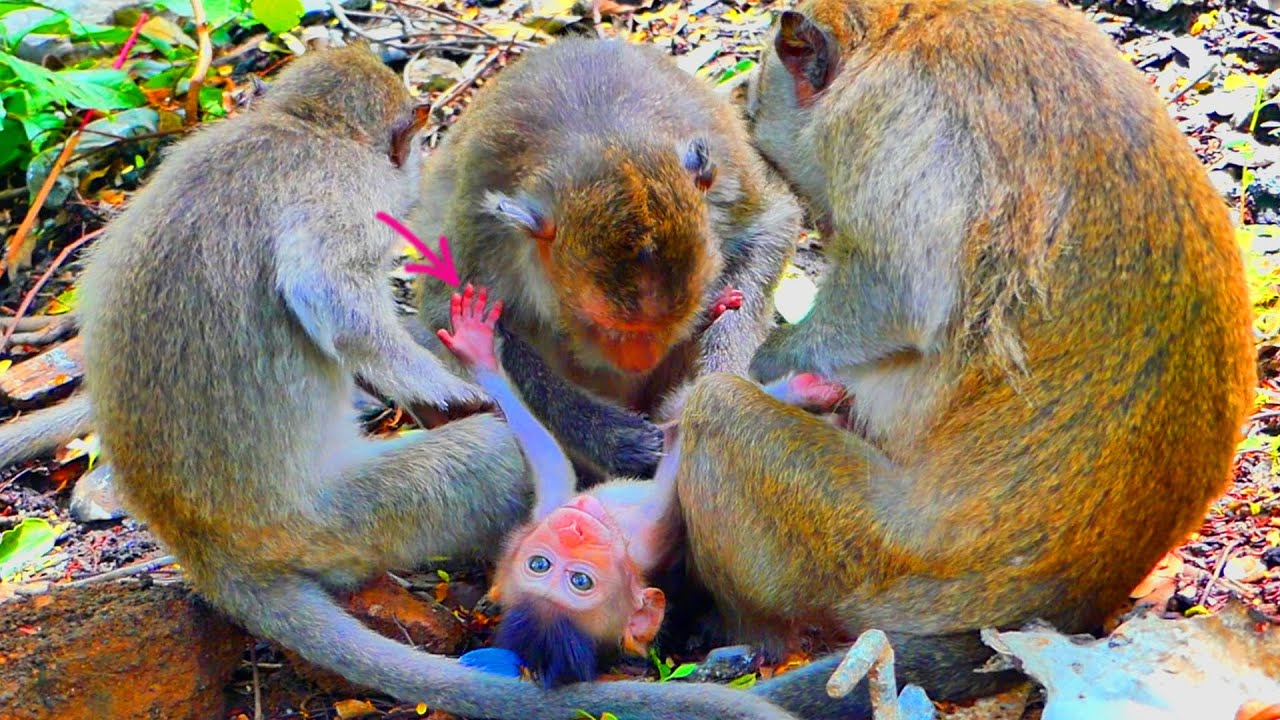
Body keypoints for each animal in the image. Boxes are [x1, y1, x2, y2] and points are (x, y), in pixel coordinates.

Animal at [409, 37, 802, 481]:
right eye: (605, 327)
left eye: (675, 320)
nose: (640, 361)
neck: (607, 139)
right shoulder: (482, 231)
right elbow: (448, 308)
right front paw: (613, 437)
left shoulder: (726, 172)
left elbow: (772, 224)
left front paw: (716, 378)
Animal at [436, 283, 845, 689]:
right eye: (577, 580)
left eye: (542, 564)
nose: (573, 531)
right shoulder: (644, 534)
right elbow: (667, 444)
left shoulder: (545, 512)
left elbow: (550, 454)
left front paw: (478, 351)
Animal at [604, 1, 1259, 718]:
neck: (904, 24)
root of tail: (1070, 603)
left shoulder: (881, 114)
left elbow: (898, 294)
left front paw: (773, 356)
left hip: (877, 560)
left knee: (720, 413)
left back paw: (748, 637)